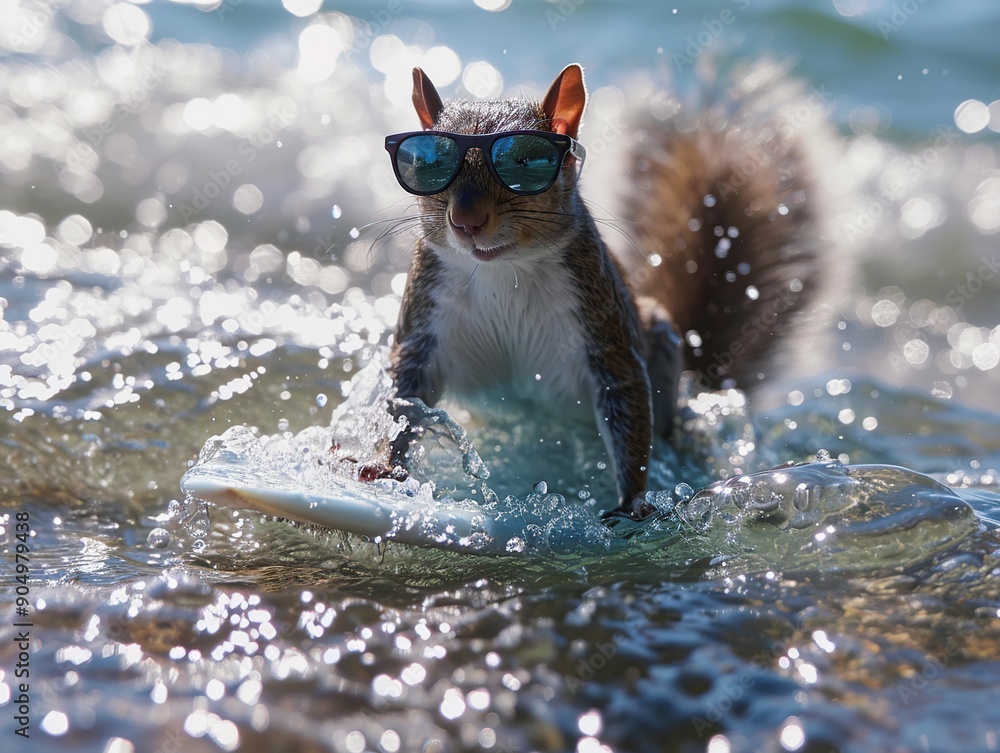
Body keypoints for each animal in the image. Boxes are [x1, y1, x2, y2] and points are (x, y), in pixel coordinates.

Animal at [385, 63, 826, 519]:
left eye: (528, 163)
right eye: (425, 164)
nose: (466, 220)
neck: (502, 271)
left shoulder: (604, 327)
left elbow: (626, 401)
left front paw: (631, 503)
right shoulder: (424, 322)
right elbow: (406, 399)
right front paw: (386, 468)